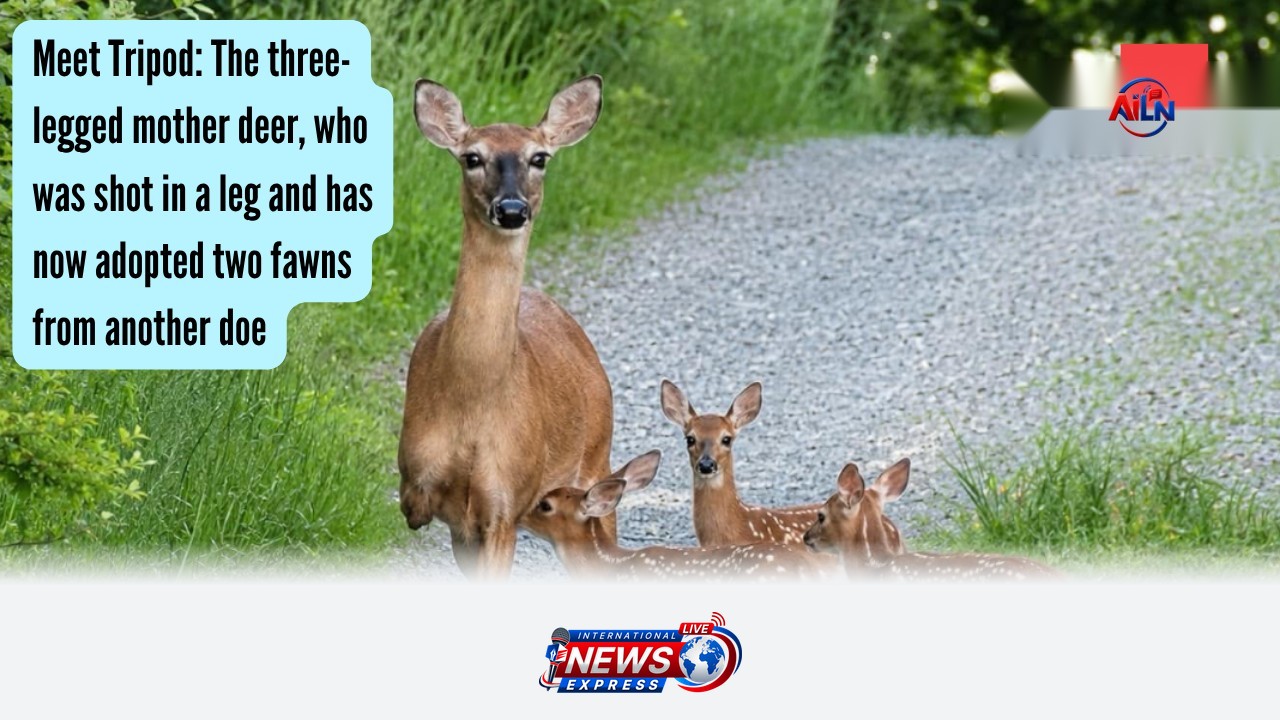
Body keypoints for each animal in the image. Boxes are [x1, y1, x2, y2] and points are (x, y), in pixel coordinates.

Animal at [398, 76, 616, 579]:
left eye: (540, 158)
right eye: (471, 157)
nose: (512, 209)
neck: (472, 405)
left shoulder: (505, 503)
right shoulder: (419, 488)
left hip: (598, 457)